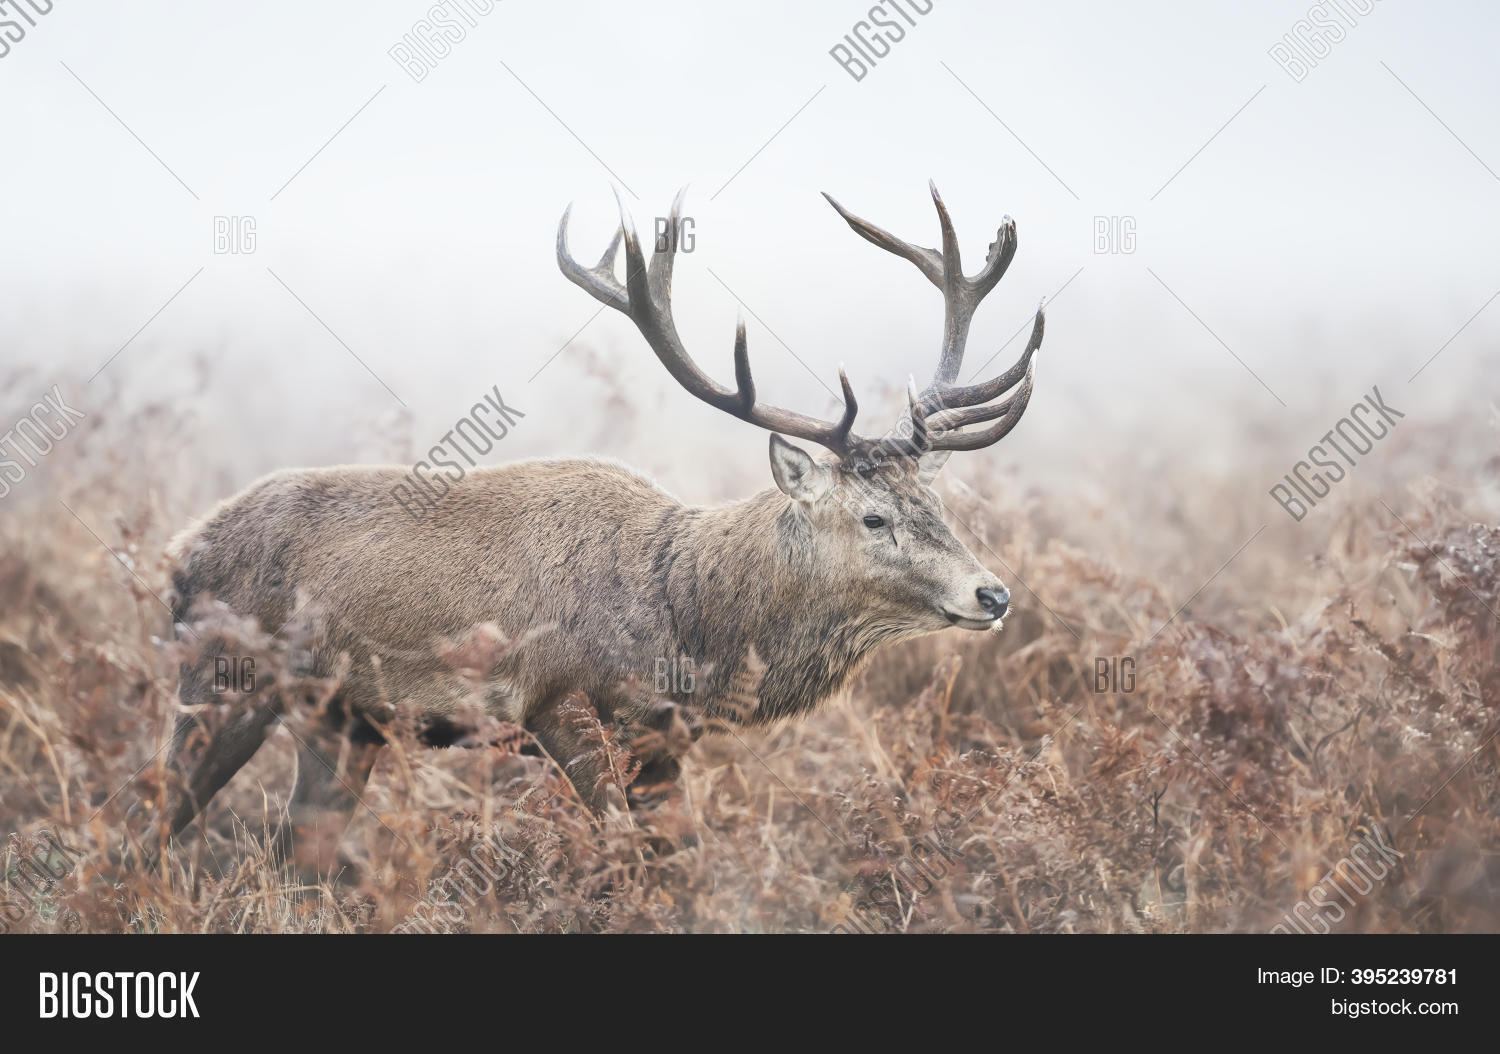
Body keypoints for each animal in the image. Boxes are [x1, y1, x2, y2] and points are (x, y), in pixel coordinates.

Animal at [152, 183, 1046, 877]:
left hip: (343, 720)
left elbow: (678, 866)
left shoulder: (665, 743)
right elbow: (624, 857)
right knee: (150, 824)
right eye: (873, 515)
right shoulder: (559, 702)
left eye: (941, 506)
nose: (993, 593)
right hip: (220, 681)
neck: (688, 626)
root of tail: (178, 555)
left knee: (295, 854)